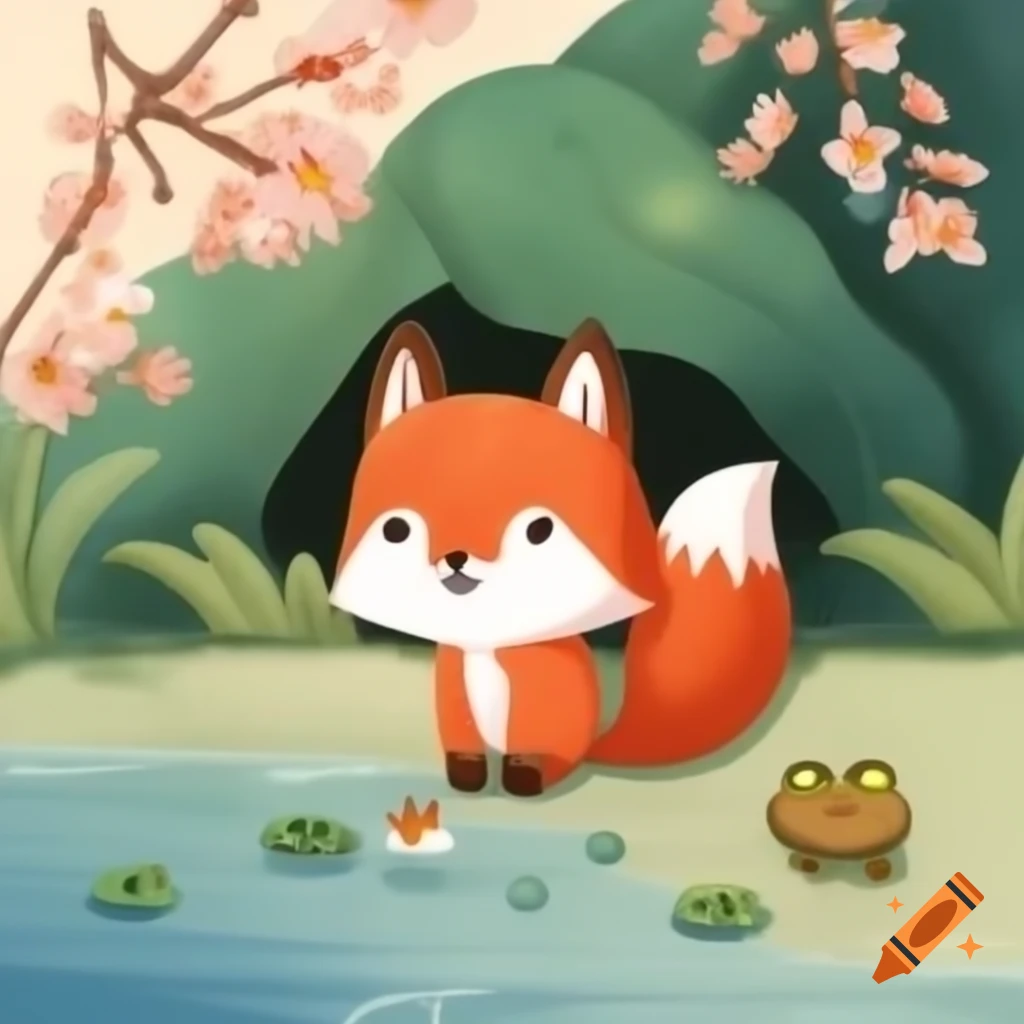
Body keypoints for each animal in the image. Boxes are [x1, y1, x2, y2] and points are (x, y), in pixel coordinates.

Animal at [330, 317, 792, 798]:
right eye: (396, 531)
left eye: (539, 531)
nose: (455, 558)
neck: (486, 644)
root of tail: (595, 743)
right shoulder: (454, 699)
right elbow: (463, 747)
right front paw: (466, 778)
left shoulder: (538, 700)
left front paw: (522, 777)